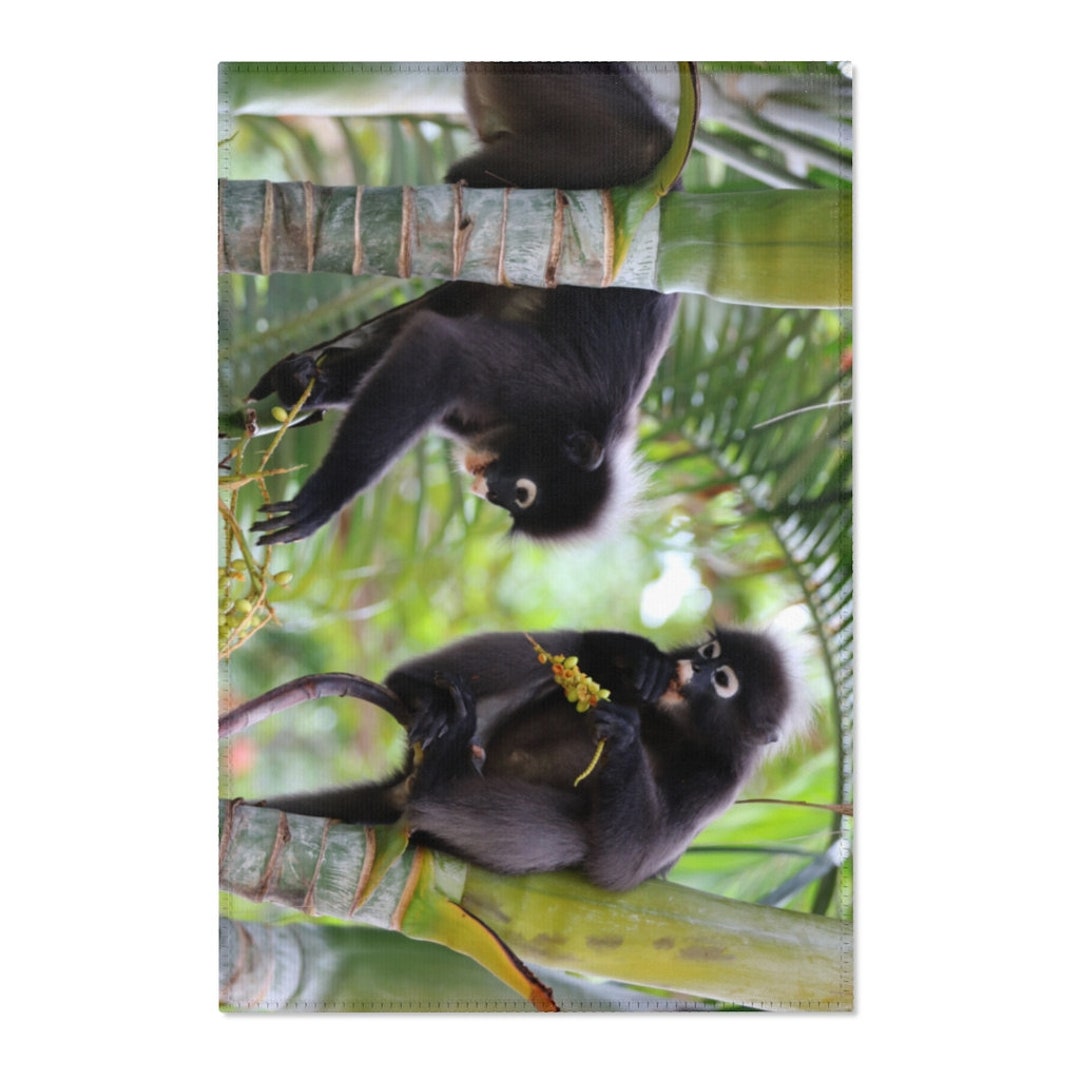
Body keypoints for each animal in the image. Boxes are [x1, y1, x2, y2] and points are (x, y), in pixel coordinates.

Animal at [247, 63, 681, 545]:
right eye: (522, 493)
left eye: (512, 502)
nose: (487, 488)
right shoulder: (555, 386)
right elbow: (440, 348)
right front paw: (325, 497)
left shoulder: (484, 423)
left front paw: (312, 384)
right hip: (602, 129)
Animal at [251, 626, 803, 892]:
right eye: (710, 652)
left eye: (723, 680)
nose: (693, 668)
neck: (682, 726)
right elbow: (602, 654)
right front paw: (637, 652)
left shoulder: (719, 785)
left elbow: (624, 867)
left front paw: (624, 739)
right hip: (484, 727)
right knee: (565, 647)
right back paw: (417, 689)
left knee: (574, 831)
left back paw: (441, 782)